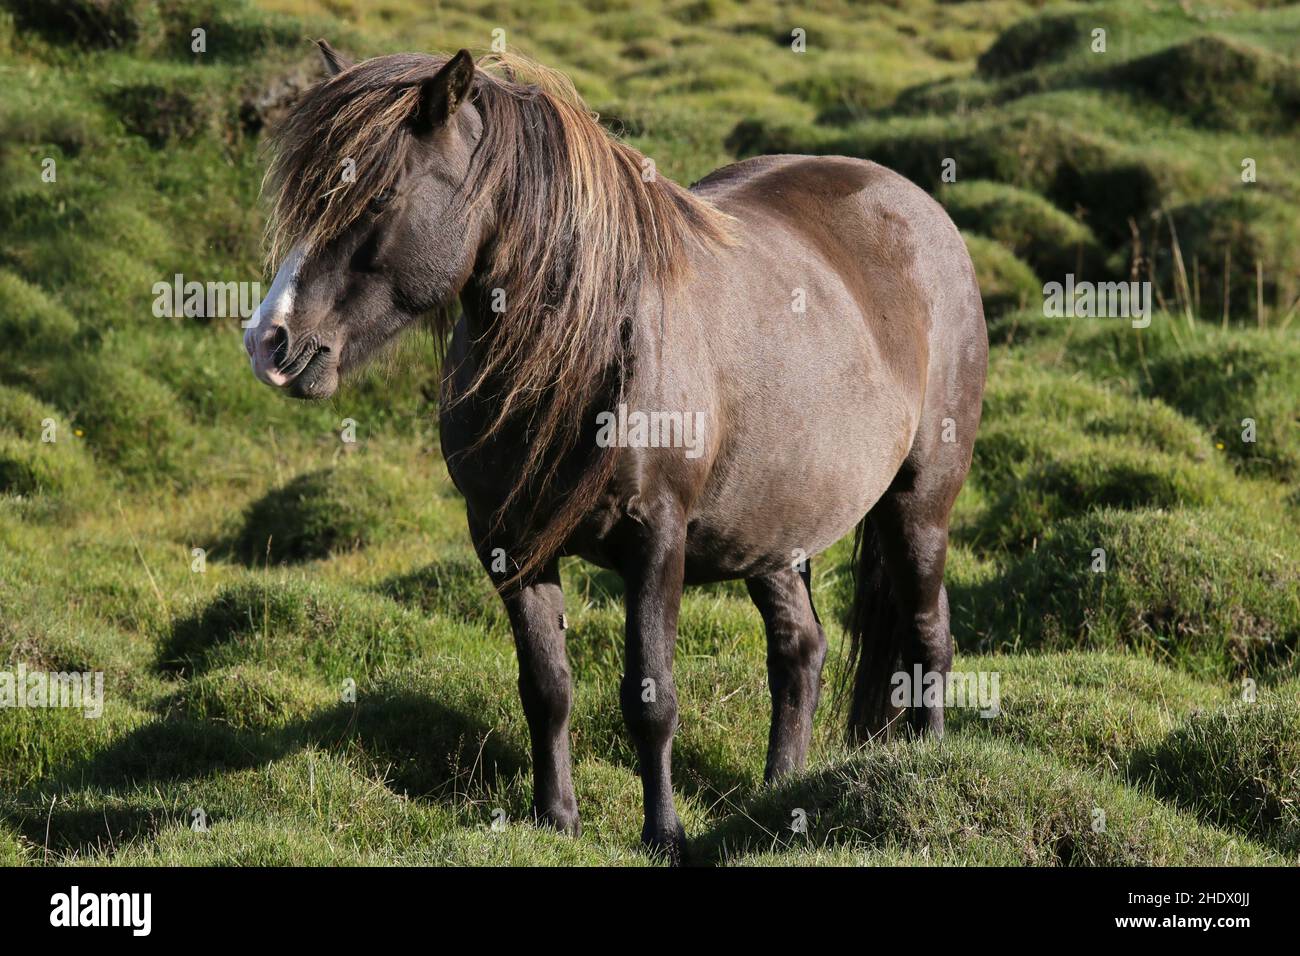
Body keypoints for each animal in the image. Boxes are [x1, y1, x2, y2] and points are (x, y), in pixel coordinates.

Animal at [244, 42, 988, 863]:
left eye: (378, 198)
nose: (269, 342)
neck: (587, 341)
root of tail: (919, 209)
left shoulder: (654, 537)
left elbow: (649, 697)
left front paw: (664, 834)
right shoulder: (506, 541)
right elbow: (546, 687)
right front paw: (555, 820)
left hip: (919, 503)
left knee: (928, 635)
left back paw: (927, 767)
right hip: (771, 527)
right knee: (801, 649)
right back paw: (778, 796)